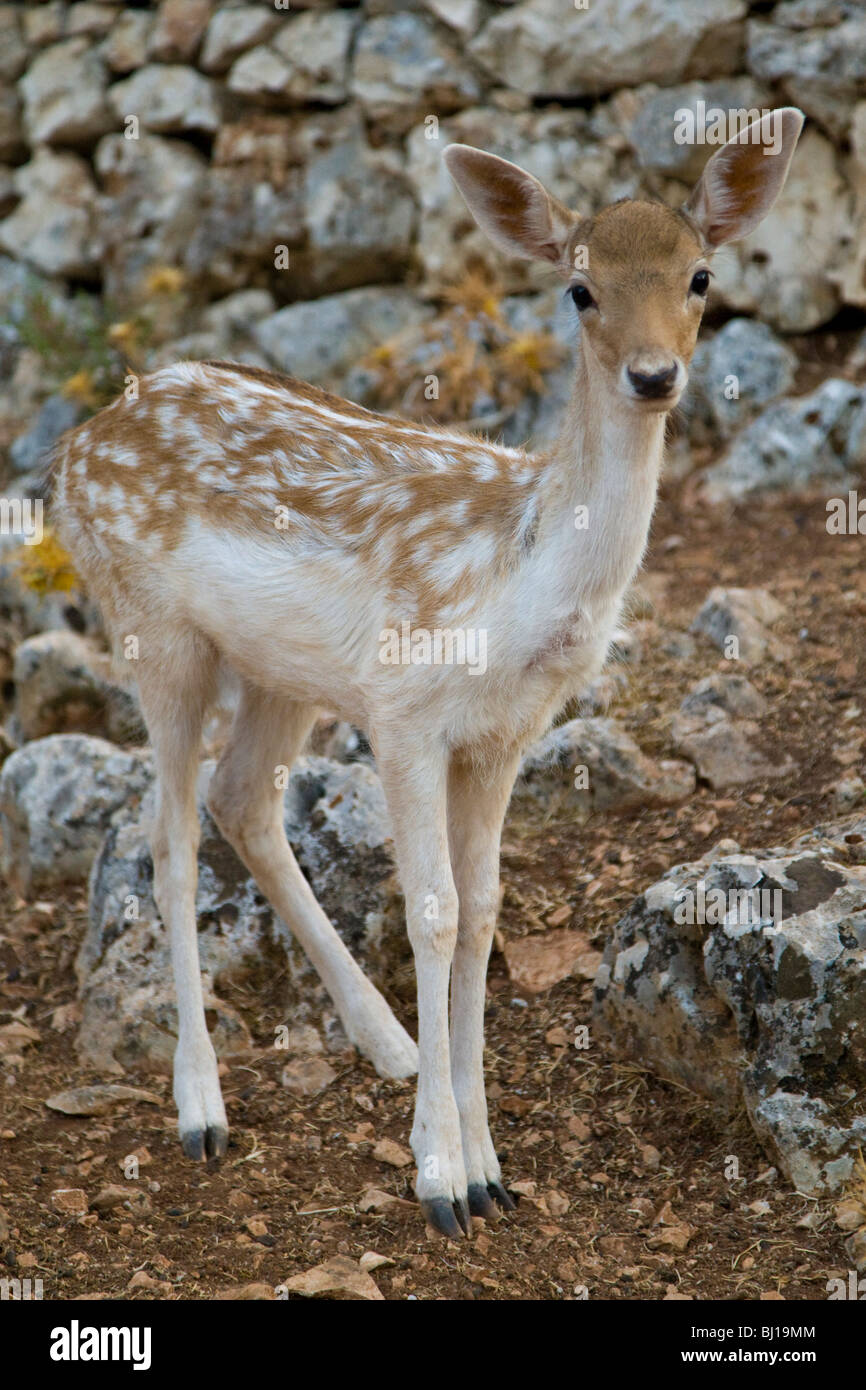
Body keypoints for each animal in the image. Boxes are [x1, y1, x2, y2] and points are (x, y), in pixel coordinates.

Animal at [50, 107, 803, 1238]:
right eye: (579, 289)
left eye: (701, 277)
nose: (653, 376)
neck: (517, 582)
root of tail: (69, 453)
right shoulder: (405, 708)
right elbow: (434, 914)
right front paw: (440, 1176)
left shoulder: (503, 734)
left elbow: (486, 910)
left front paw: (489, 1165)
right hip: (153, 628)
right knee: (167, 838)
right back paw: (202, 1107)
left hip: (283, 672)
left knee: (241, 799)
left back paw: (388, 1042)